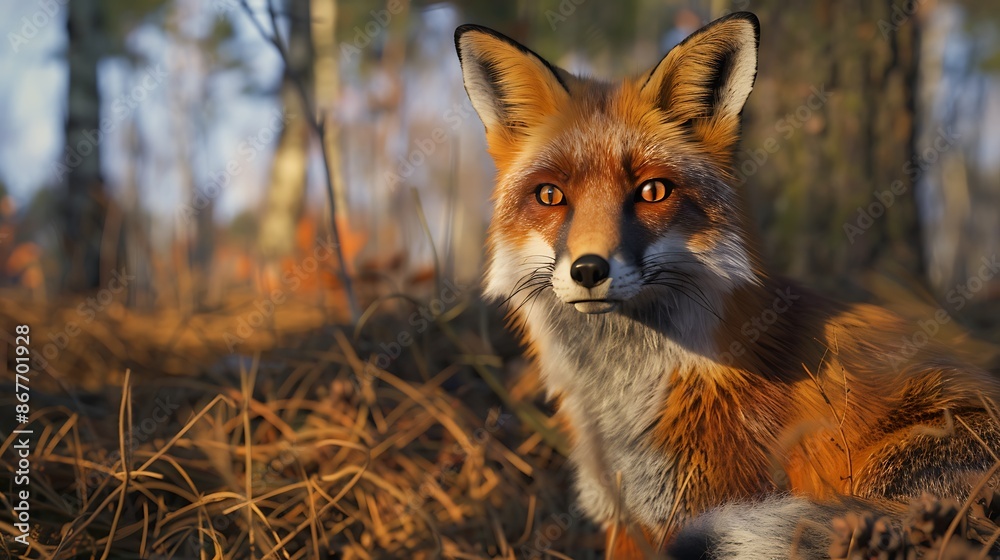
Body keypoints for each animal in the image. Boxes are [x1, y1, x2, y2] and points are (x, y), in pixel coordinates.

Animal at [454, 11, 1000, 559]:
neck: (626, 400)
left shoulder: (705, 500)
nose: (588, 270)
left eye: (653, 191)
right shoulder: (626, 519)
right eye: (550, 195)